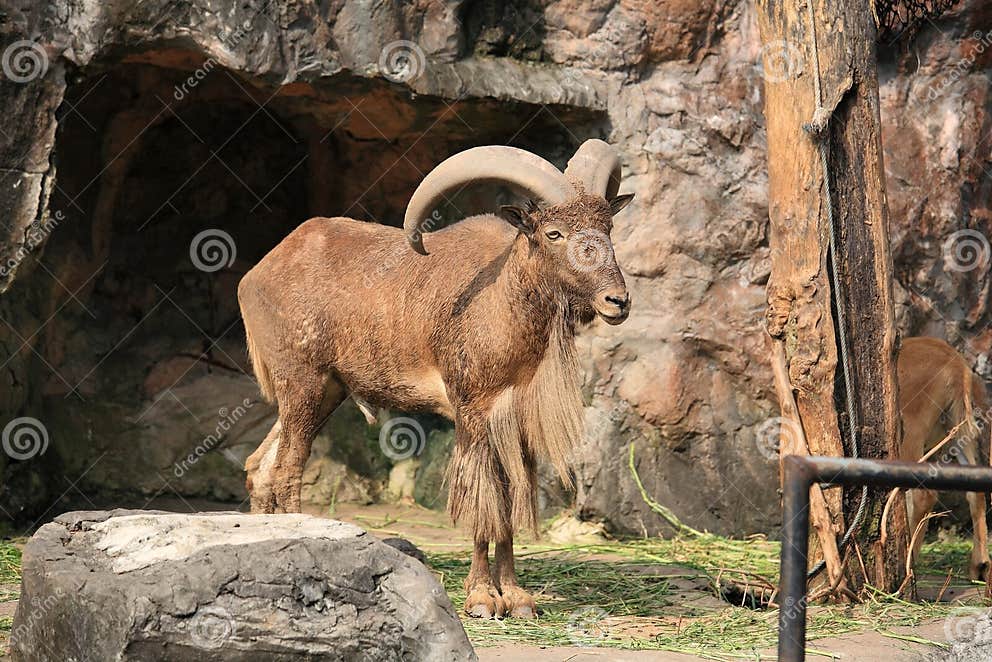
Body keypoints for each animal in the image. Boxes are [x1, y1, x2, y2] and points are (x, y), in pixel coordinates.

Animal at [238, 140, 634, 618]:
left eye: (607, 227)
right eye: (554, 233)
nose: (617, 301)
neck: (501, 300)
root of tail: (257, 274)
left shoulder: (515, 425)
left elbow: (508, 505)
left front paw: (516, 597)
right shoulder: (472, 413)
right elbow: (484, 502)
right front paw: (482, 599)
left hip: (326, 391)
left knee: (260, 467)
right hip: (304, 382)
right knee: (287, 469)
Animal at [898, 336, 990, 581]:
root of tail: (956, 364)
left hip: (912, 435)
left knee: (923, 495)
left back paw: (909, 565)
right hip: (956, 431)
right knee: (976, 491)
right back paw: (980, 565)